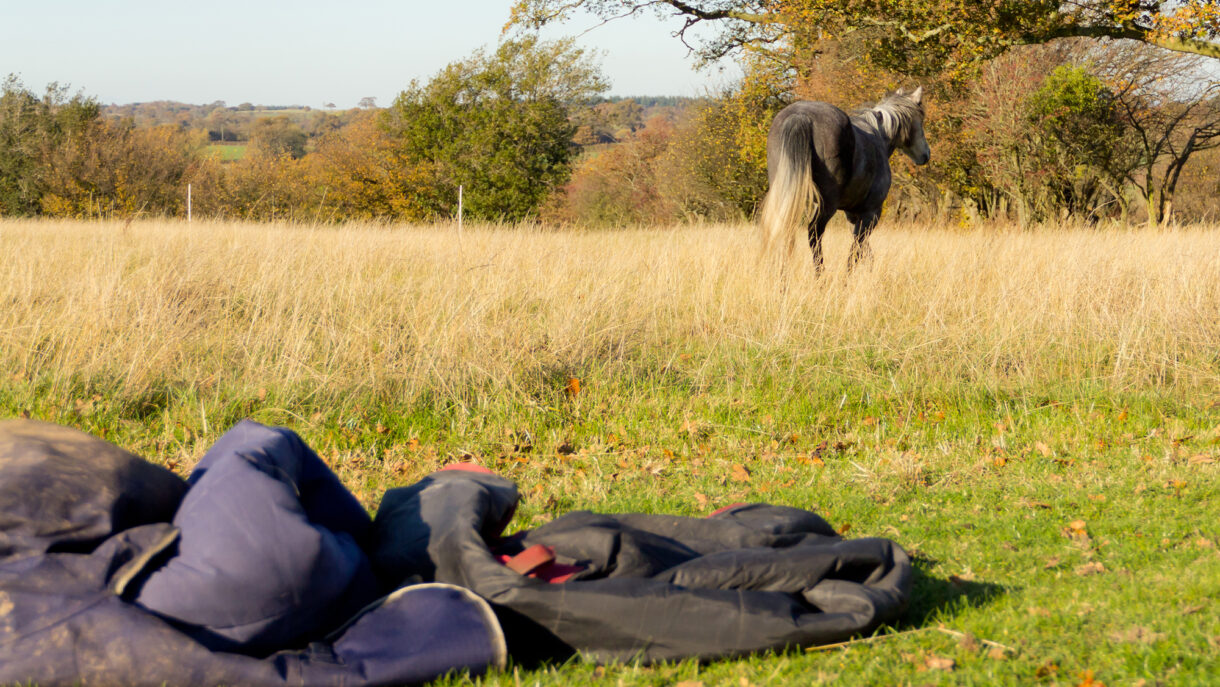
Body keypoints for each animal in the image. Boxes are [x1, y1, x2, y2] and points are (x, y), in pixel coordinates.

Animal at [758, 87, 930, 271]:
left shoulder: (852, 215)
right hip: (826, 206)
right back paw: (820, 275)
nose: (926, 154)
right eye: (921, 119)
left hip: (788, 196)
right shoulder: (871, 213)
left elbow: (865, 250)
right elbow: (856, 251)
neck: (878, 136)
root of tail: (800, 116)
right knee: (814, 236)